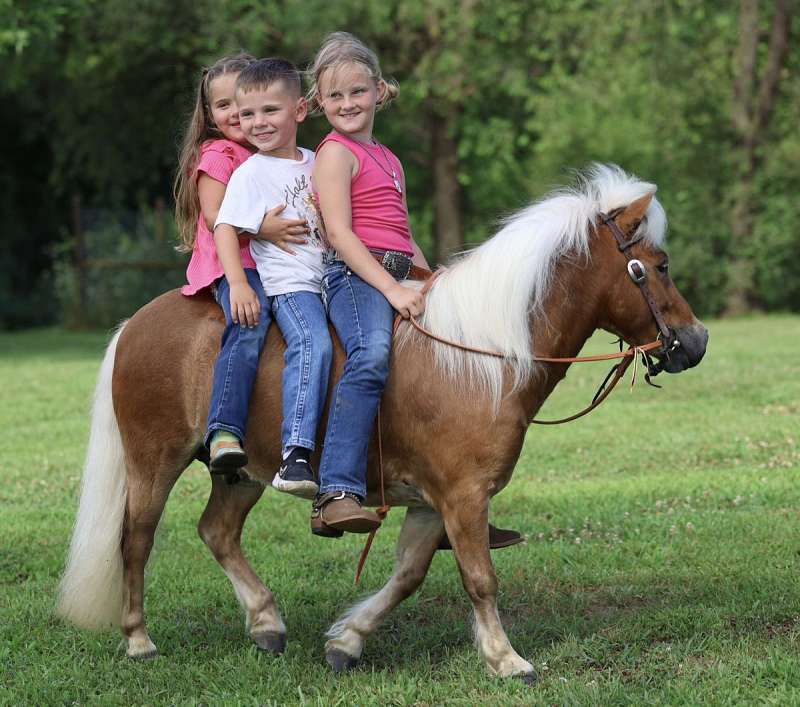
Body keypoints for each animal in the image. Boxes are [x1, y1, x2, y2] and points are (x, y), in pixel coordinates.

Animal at [57, 164, 707, 682]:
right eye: (658, 266)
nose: (695, 341)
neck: (483, 355)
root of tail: (134, 325)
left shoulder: (431, 500)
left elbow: (409, 575)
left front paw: (348, 641)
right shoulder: (464, 496)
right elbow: (479, 577)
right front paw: (506, 660)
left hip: (240, 471)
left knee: (216, 531)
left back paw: (266, 622)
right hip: (153, 460)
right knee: (136, 540)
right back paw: (139, 640)